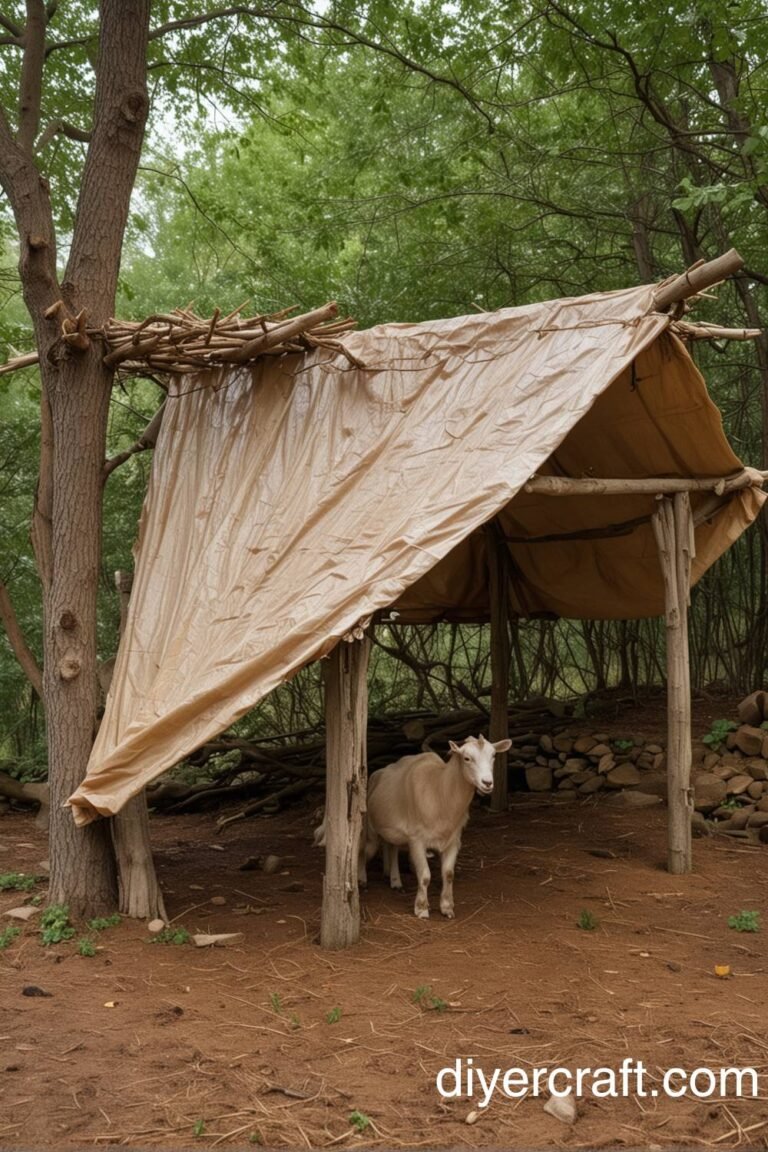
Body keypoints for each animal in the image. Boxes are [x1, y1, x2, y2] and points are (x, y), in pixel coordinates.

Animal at [362, 734, 511, 919]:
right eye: (466, 758)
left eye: (493, 756)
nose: (487, 782)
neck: (439, 791)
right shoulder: (417, 839)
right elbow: (425, 875)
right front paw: (421, 909)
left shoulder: (454, 840)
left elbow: (448, 874)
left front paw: (447, 907)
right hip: (370, 828)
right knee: (365, 850)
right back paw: (362, 880)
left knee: (392, 847)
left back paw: (395, 880)